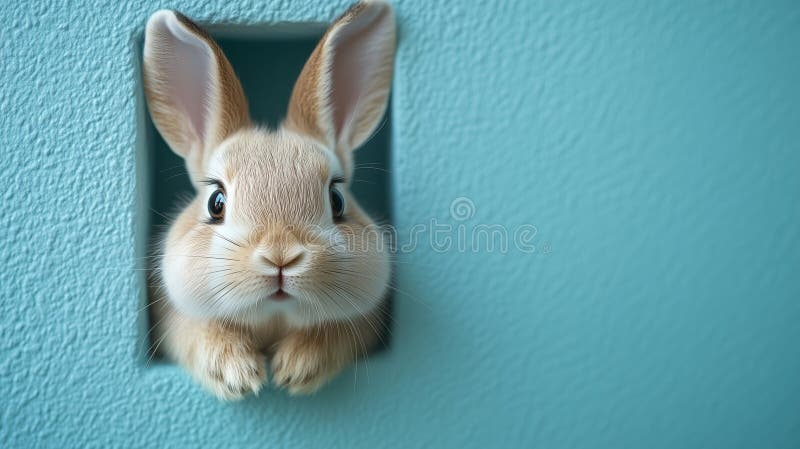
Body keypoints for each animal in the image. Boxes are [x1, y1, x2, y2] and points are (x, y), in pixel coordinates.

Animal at [142, 1, 395, 400]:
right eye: (216, 203)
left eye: (337, 200)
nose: (280, 258)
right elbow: (199, 334)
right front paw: (239, 374)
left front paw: (295, 369)